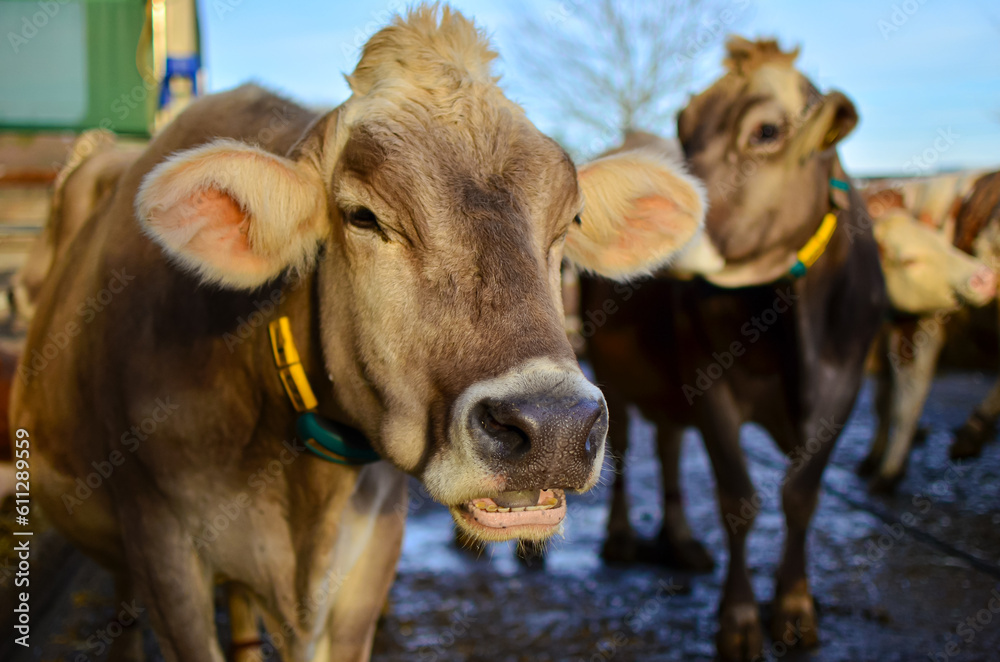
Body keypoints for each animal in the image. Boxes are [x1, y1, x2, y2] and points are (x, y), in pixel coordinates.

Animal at [579, 38, 886, 661]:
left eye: (766, 132)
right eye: (684, 129)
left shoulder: (843, 391)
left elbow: (801, 497)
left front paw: (794, 607)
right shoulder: (710, 386)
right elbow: (739, 501)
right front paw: (739, 620)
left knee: (668, 448)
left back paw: (679, 541)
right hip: (608, 374)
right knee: (623, 447)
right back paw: (621, 538)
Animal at [858, 188, 996, 491]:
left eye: (944, 244)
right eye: (908, 260)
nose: (985, 279)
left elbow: (900, 402)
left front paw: (886, 469)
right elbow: (889, 402)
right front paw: (879, 464)